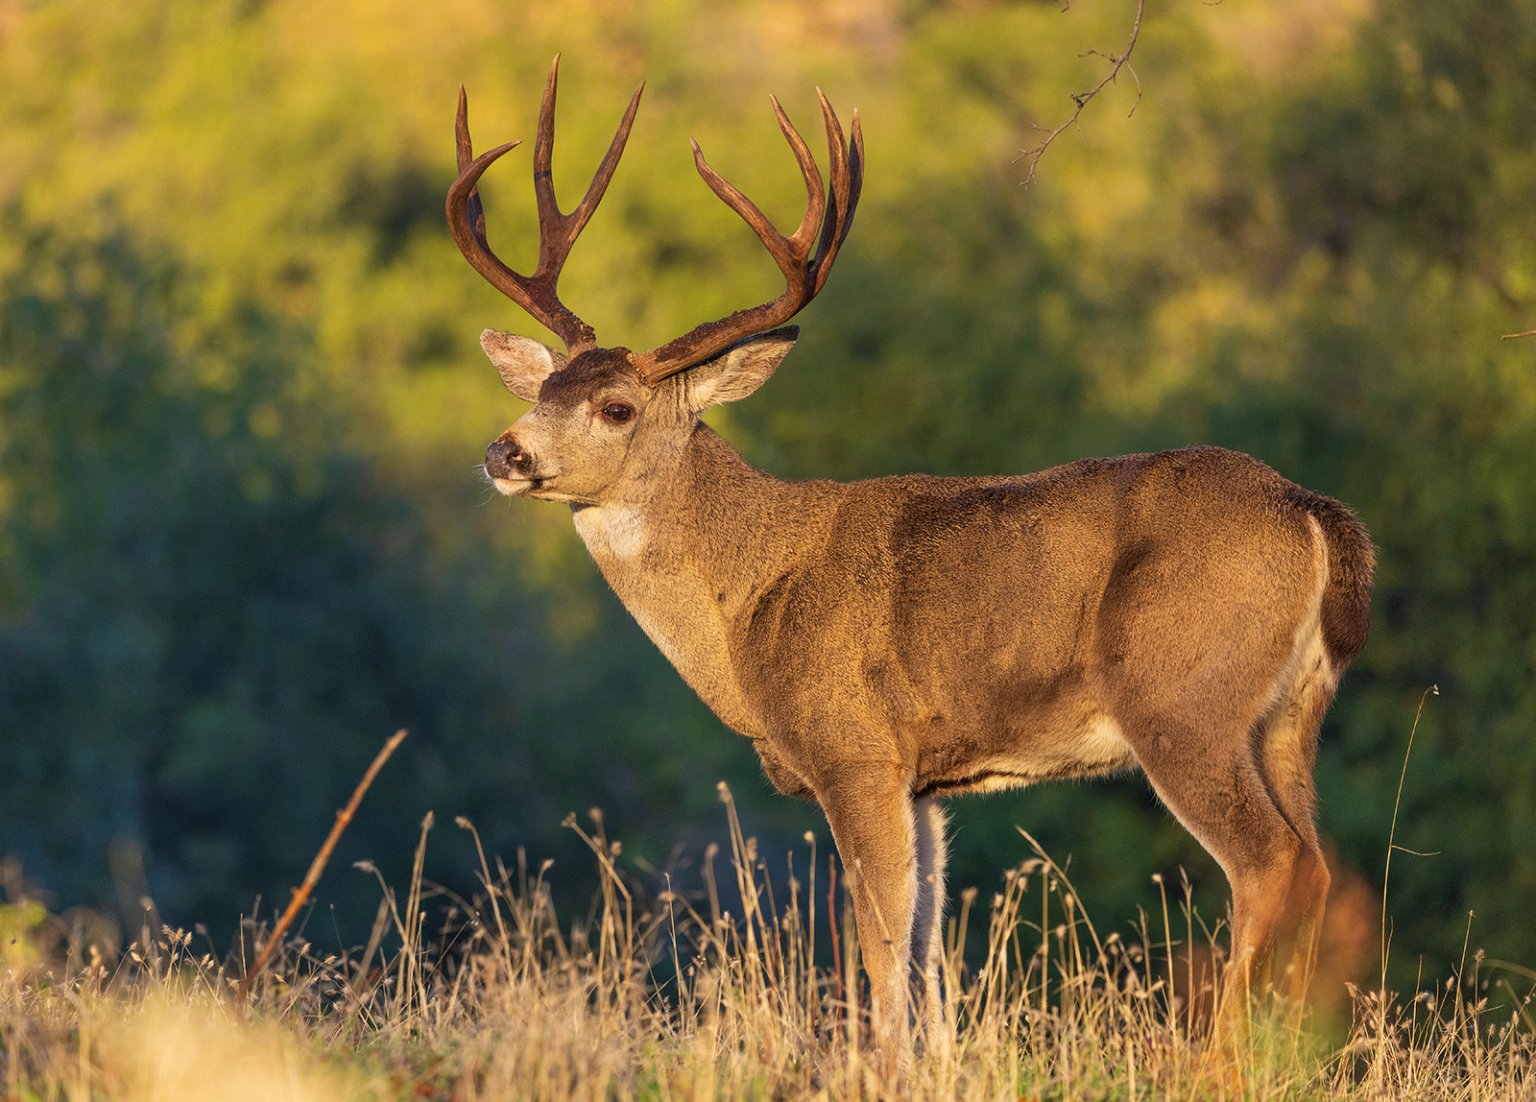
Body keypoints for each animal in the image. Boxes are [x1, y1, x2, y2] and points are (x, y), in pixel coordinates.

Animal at [446, 58, 1374, 1058]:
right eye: (543, 388)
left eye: (616, 407)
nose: (505, 453)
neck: (748, 596)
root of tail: (1311, 513)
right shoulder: (926, 778)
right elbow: (926, 942)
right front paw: (932, 1061)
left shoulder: (854, 747)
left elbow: (882, 940)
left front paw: (880, 1065)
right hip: (1290, 716)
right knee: (1321, 867)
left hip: (1182, 698)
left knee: (1271, 864)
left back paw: (1219, 1063)